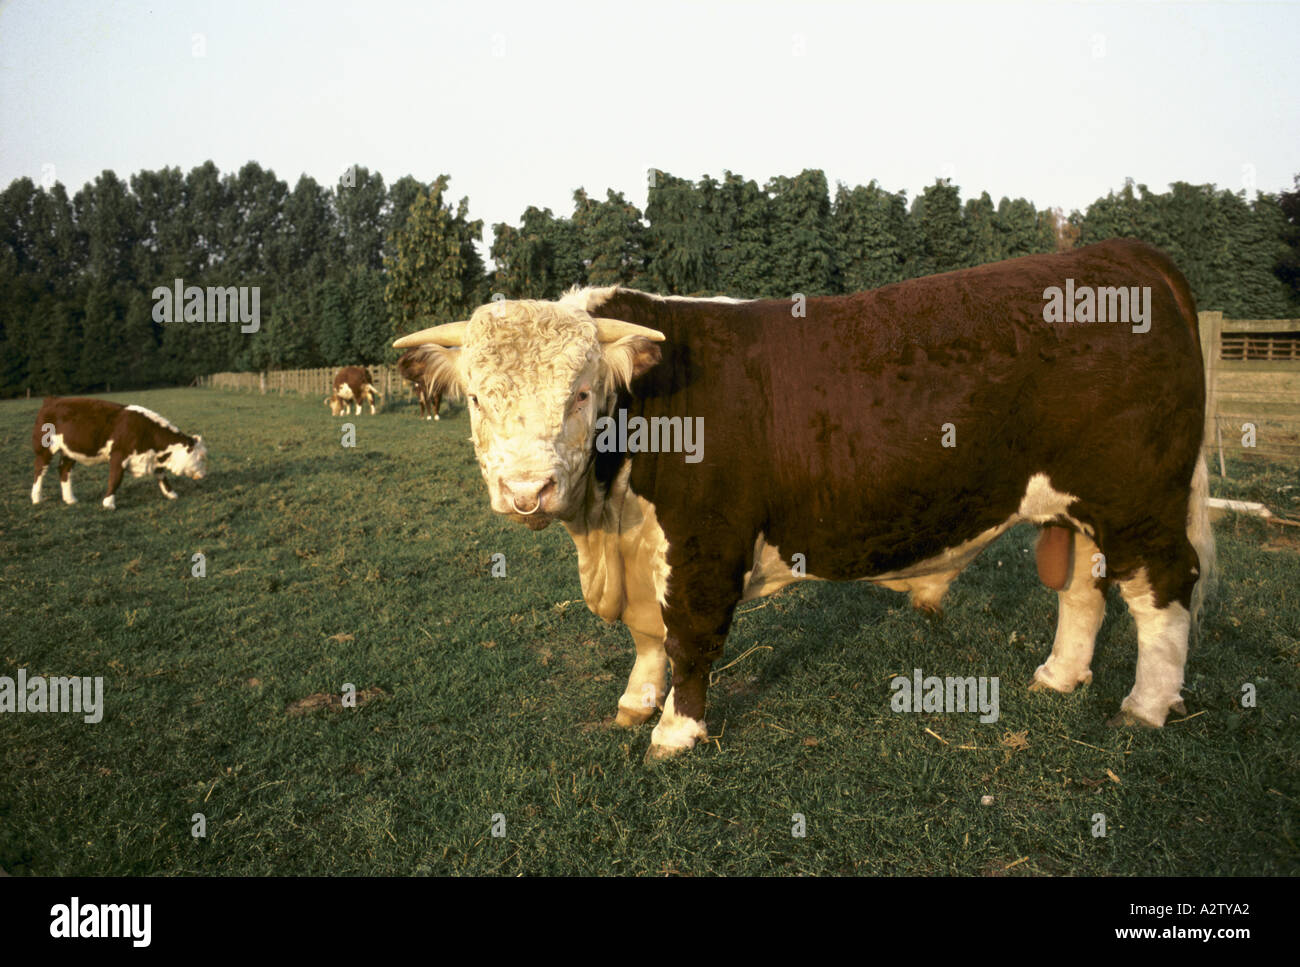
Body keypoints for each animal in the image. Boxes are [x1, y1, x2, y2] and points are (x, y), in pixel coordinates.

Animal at [31, 397, 208, 510]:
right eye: (200, 457)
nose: (204, 474)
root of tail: (52, 400)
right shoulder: (118, 455)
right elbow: (115, 479)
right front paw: (108, 503)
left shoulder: (152, 457)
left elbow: (162, 476)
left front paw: (171, 494)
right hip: (44, 449)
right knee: (40, 470)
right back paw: (37, 498)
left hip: (70, 451)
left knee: (64, 470)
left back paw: (70, 499)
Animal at [394, 238, 1216, 760]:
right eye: (477, 397)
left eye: (581, 392)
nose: (525, 490)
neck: (607, 527)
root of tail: (1125, 254)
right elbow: (648, 637)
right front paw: (634, 702)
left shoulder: (704, 544)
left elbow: (688, 636)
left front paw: (675, 732)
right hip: (1080, 509)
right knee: (1084, 589)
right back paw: (1058, 675)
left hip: (1139, 498)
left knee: (1163, 591)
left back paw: (1145, 708)